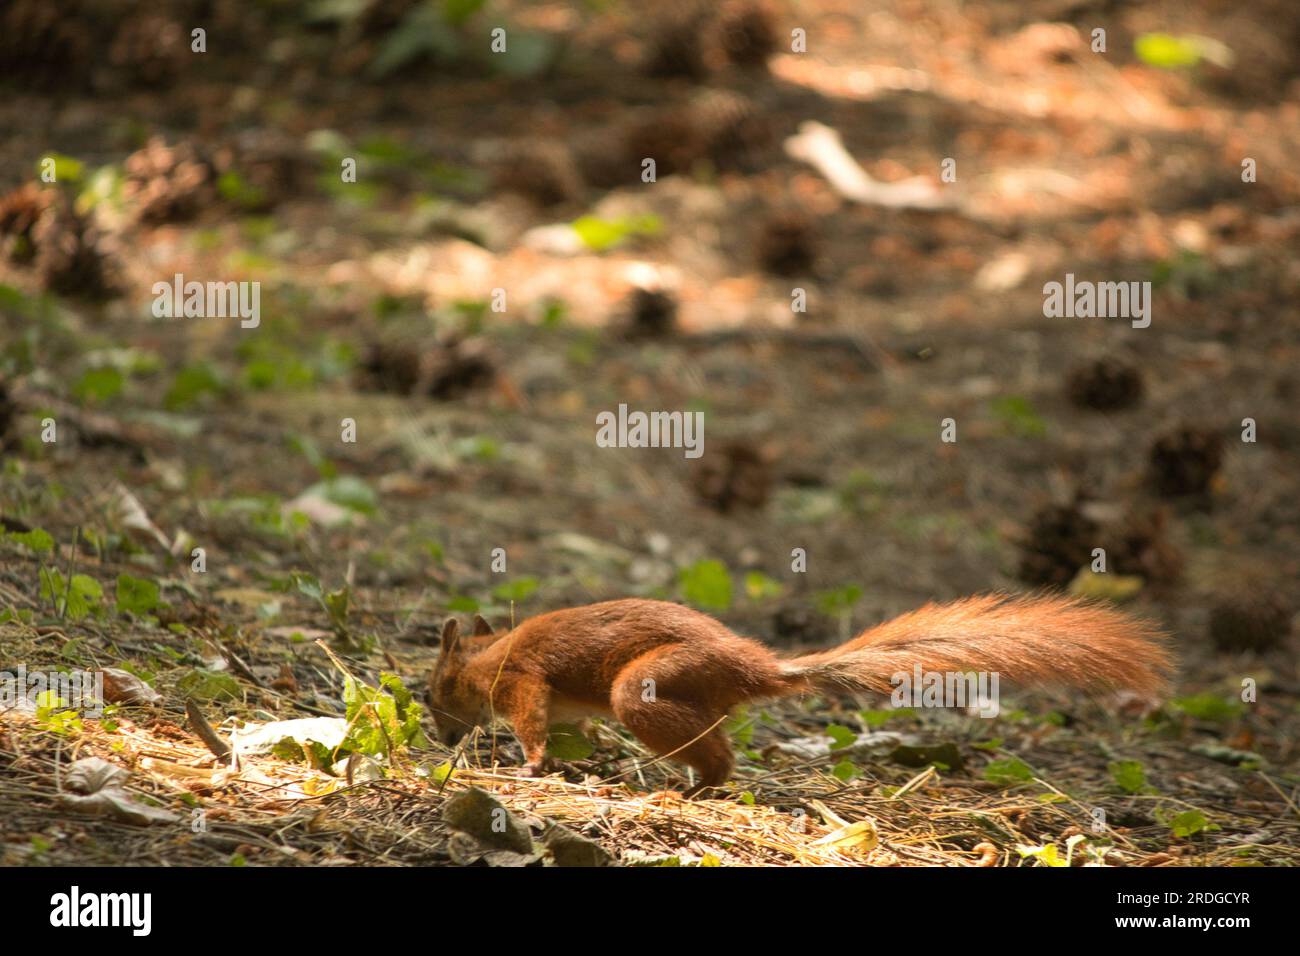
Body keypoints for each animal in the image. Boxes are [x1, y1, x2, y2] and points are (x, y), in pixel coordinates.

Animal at [428, 593, 1171, 796]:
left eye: (437, 691)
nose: (439, 734)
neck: (489, 660)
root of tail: (758, 669)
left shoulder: (522, 684)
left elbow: (532, 724)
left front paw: (530, 765)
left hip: (643, 689)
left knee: (719, 758)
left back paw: (689, 789)